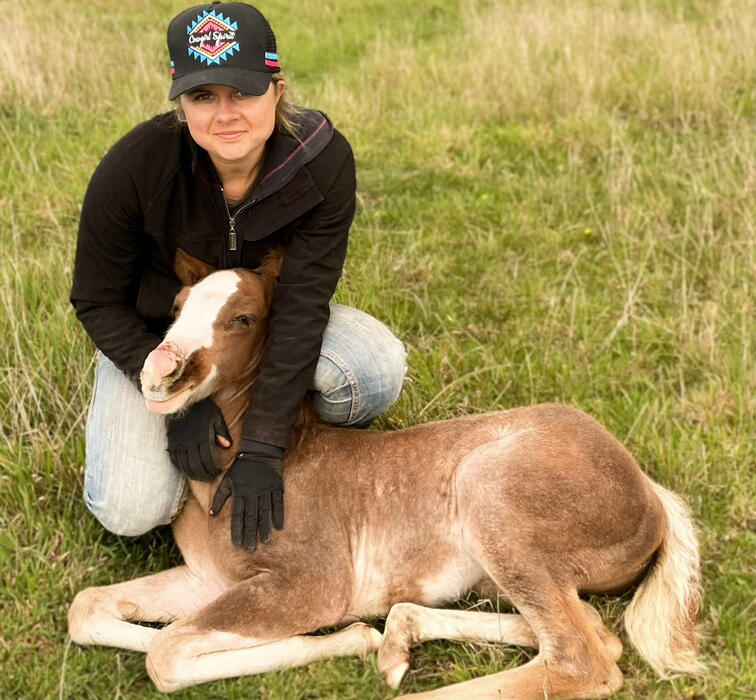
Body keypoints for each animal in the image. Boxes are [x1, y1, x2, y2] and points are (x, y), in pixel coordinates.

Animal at [68, 250, 703, 698]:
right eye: (176, 309)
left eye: (242, 317)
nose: (161, 372)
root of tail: (650, 493)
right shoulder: (209, 579)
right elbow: (91, 610)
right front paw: (354, 639)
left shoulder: (309, 583)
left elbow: (167, 653)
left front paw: (344, 635)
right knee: (589, 630)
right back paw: (397, 638)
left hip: (491, 498)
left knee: (581, 656)